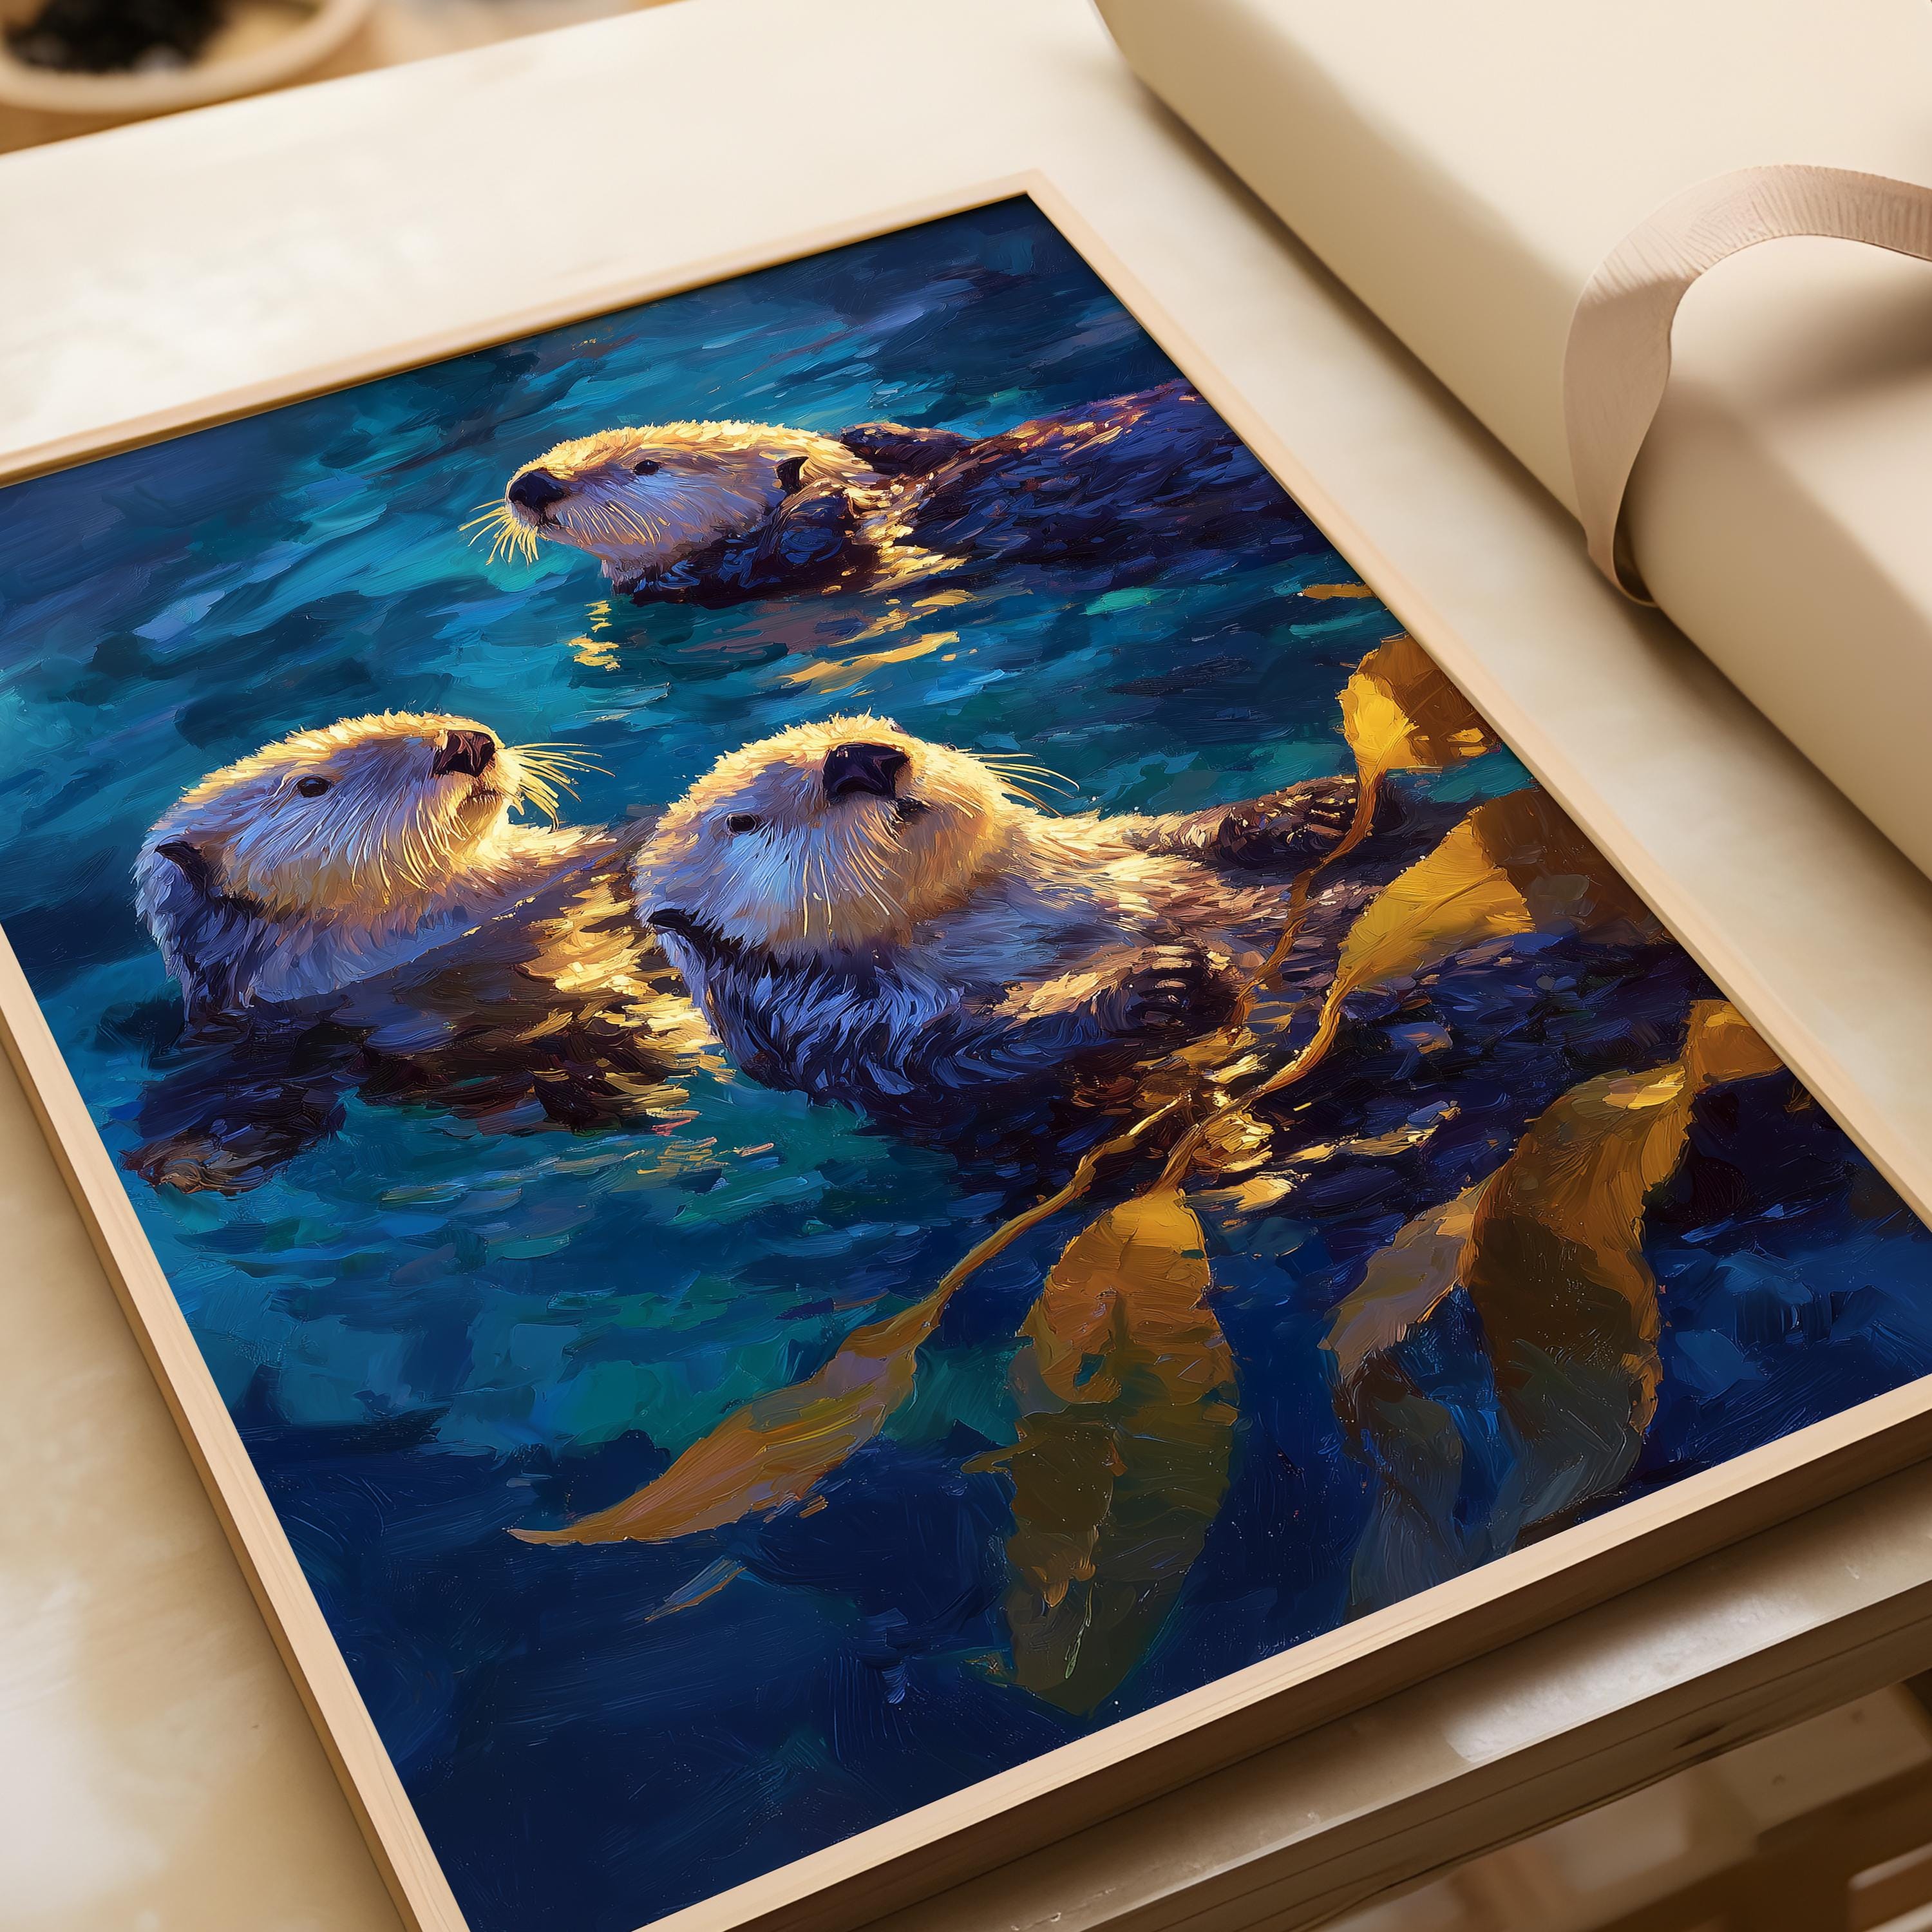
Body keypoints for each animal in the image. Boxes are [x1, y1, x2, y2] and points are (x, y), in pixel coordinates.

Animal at [479, 382, 1315, 606]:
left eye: (646, 466)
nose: (531, 483)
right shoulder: (718, 578)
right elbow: (806, 543)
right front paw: (816, 497)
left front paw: (867, 434)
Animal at [631, 715, 1404, 1126]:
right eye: (741, 823)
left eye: (883, 725)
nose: (859, 761)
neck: (969, 908)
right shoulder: (849, 1034)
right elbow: (966, 1048)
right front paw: (1153, 981)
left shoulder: (1103, 843)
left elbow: (1167, 832)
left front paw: (1308, 808)